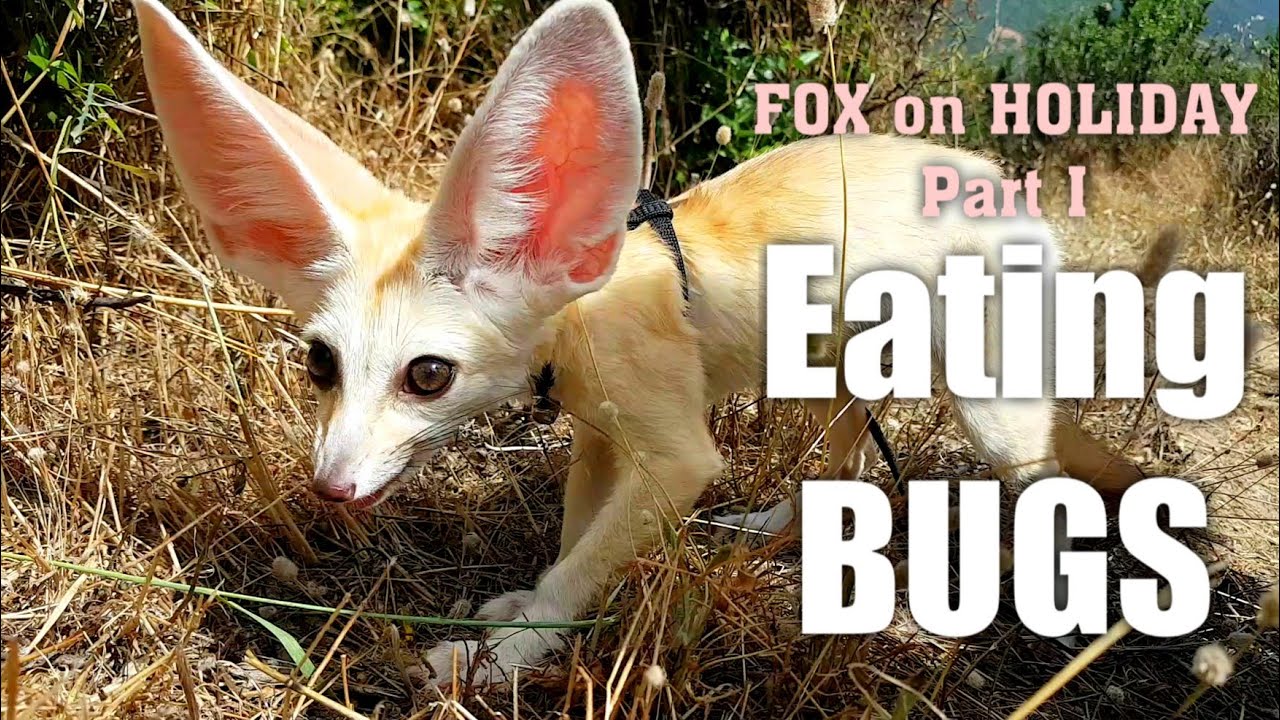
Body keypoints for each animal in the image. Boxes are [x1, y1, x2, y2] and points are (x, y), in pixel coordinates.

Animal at [133, 0, 1161, 688]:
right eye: (320, 364)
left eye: (428, 376)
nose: (331, 489)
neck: (582, 312)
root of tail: (1006, 184)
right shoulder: (598, 437)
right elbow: (572, 538)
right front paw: (521, 616)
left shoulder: (673, 455)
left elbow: (583, 568)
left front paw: (505, 654)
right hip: (834, 361)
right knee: (847, 461)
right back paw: (781, 532)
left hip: (989, 405)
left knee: (1039, 484)